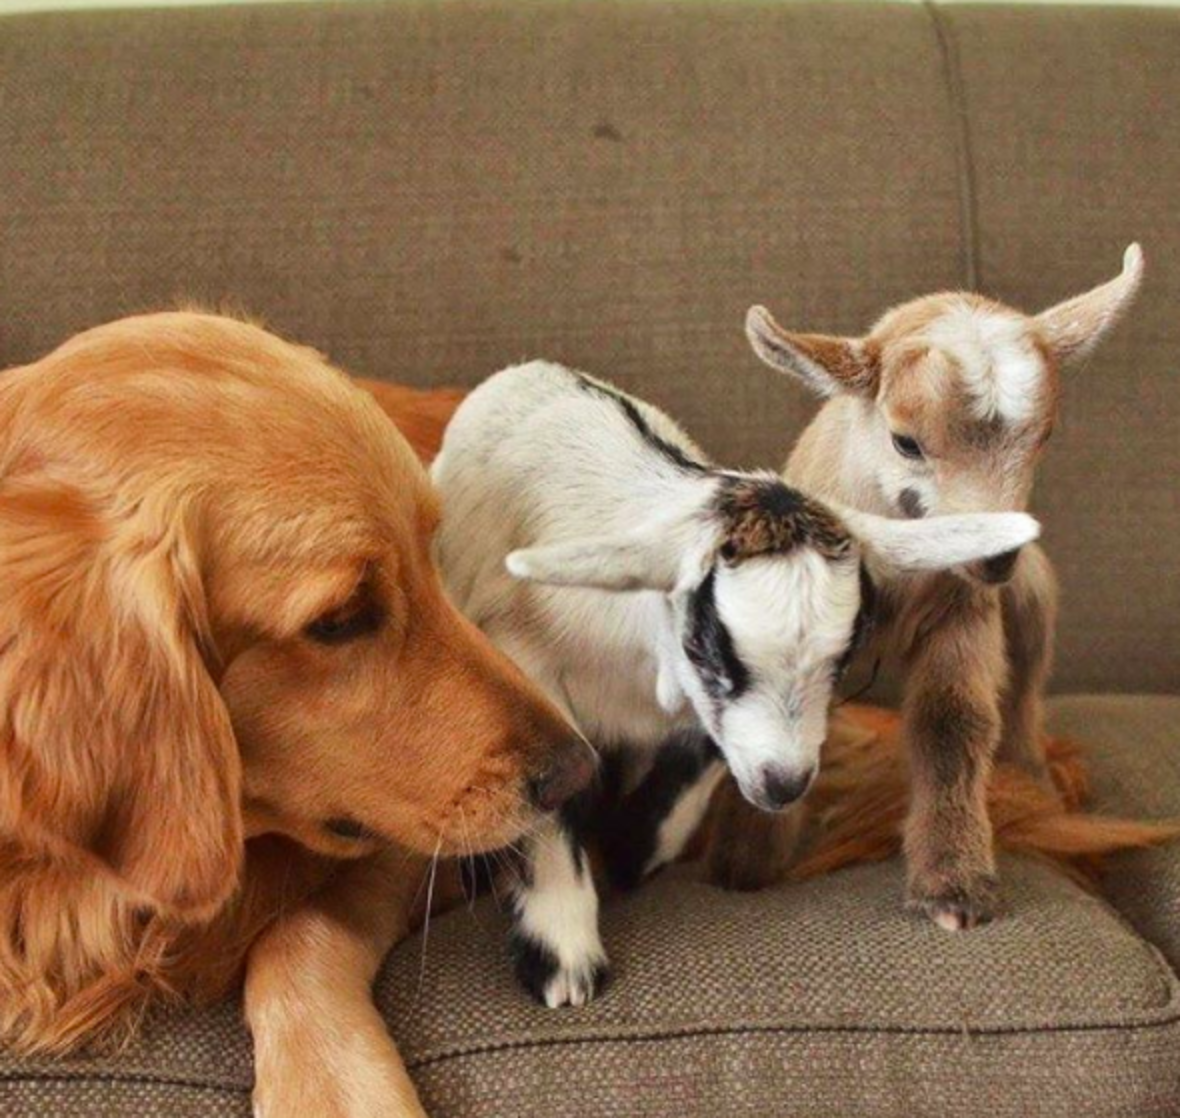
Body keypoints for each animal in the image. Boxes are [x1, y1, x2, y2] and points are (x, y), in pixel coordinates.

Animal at [431, 361, 1037, 1005]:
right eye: (705, 648)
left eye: (843, 660)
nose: (784, 786)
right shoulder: (527, 668)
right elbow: (553, 791)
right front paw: (563, 957)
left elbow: (699, 756)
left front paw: (633, 850)